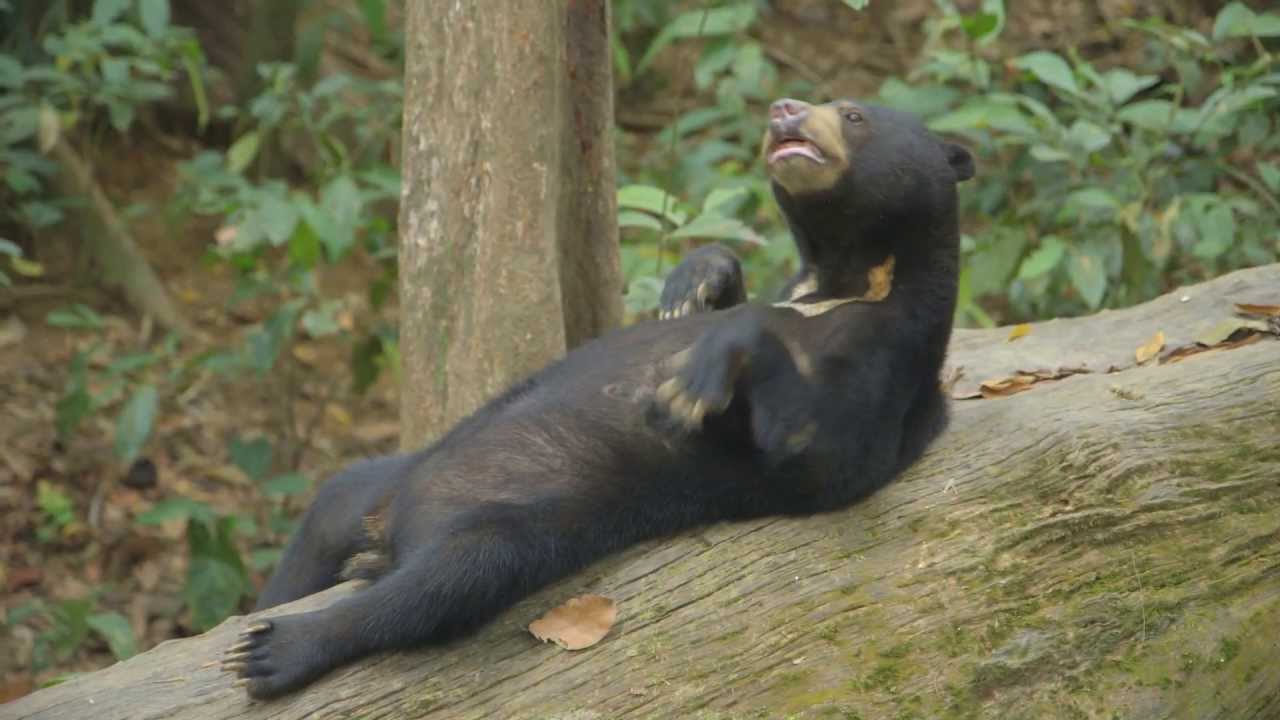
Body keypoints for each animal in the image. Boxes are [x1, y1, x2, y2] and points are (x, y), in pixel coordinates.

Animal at [221, 96, 975, 700]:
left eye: (853, 114)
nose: (783, 109)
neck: (841, 278)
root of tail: (389, 532)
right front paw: (694, 284)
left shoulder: (883, 370)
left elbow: (809, 442)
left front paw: (695, 376)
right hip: (379, 483)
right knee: (327, 515)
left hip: (505, 529)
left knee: (439, 588)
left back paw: (275, 651)